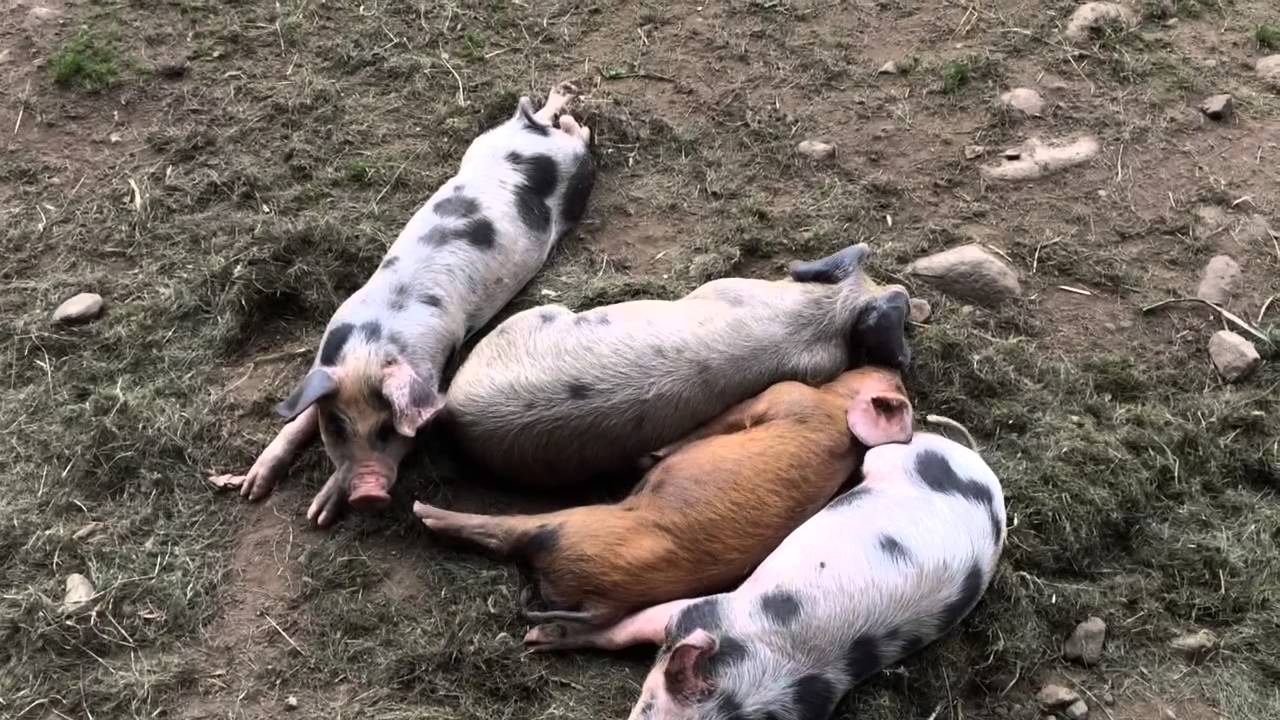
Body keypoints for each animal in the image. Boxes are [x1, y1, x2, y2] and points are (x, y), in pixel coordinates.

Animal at [208, 82, 596, 527]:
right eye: (337, 428)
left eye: (388, 429)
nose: (367, 496)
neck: (370, 346)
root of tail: (533, 132)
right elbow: (300, 417)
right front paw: (253, 490)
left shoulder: (435, 380)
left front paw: (319, 513)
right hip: (488, 139)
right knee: (548, 118)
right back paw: (558, 97)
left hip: (577, 171)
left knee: (579, 134)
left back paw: (569, 104)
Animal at [413, 366, 913, 627]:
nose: (892, 367)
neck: (835, 410)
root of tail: (603, 604)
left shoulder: (779, 397)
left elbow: (718, 421)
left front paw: (649, 457)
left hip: (569, 525)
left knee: (508, 530)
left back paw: (423, 511)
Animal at [521, 432, 1006, 720]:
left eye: (648, 711)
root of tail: (980, 466)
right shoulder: (702, 610)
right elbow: (624, 630)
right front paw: (534, 642)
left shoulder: (705, 613)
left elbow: (620, 631)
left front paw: (534, 639)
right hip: (900, 454)